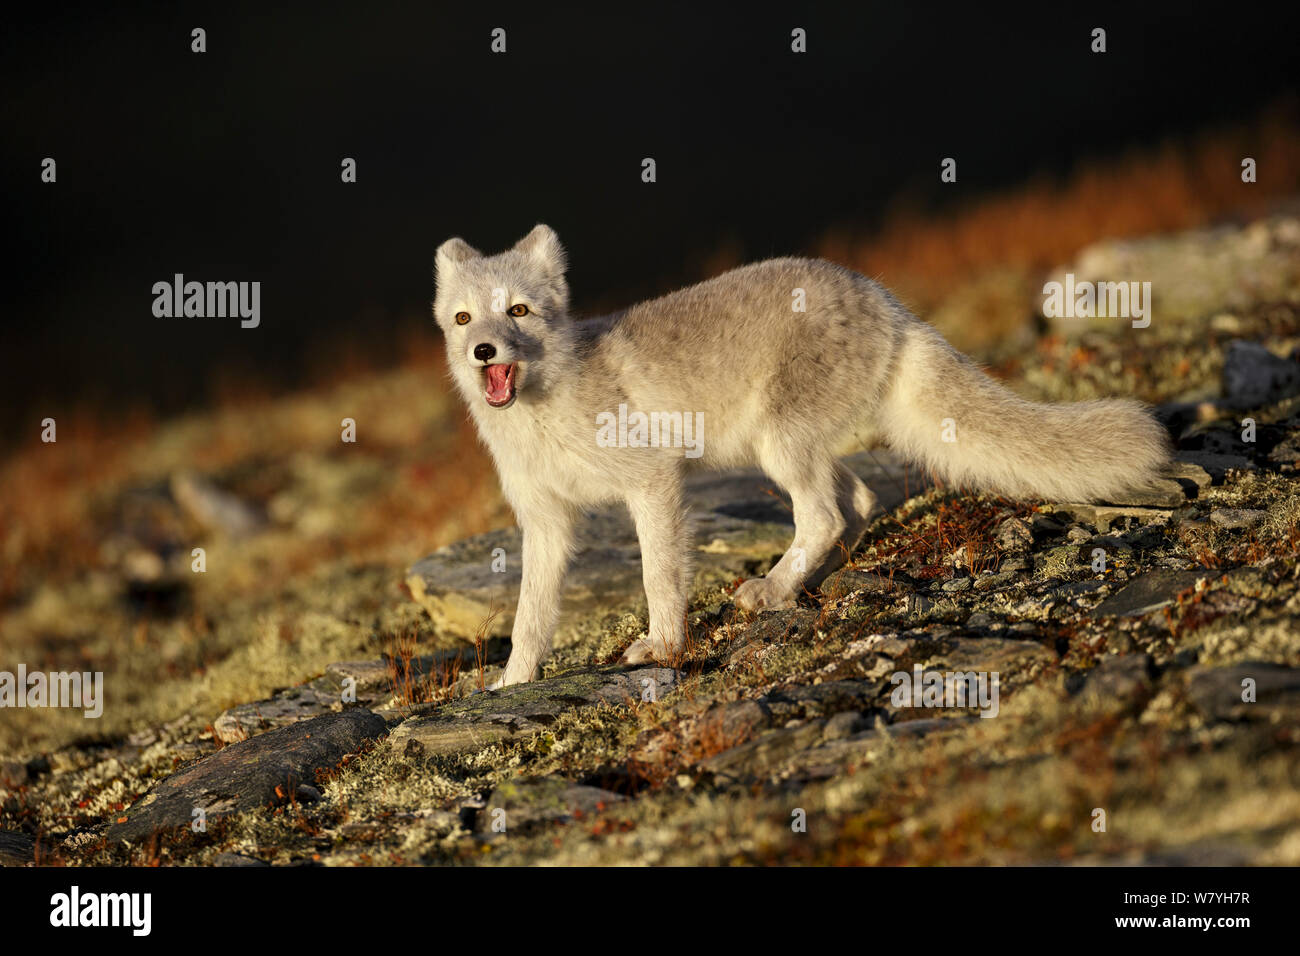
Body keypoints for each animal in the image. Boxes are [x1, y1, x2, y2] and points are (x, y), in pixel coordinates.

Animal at [433, 224, 1170, 686]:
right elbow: (530, 617)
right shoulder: (545, 522)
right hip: (793, 444)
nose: (483, 352)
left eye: (520, 311)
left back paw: (774, 588)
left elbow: (659, 578)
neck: (544, 411)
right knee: (858, 501)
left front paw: (665, 648)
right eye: (465, 319)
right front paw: (511, 684)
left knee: (823, 513)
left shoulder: (652, 482)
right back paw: (813, 581)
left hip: (779, 441)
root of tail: (884, 299)